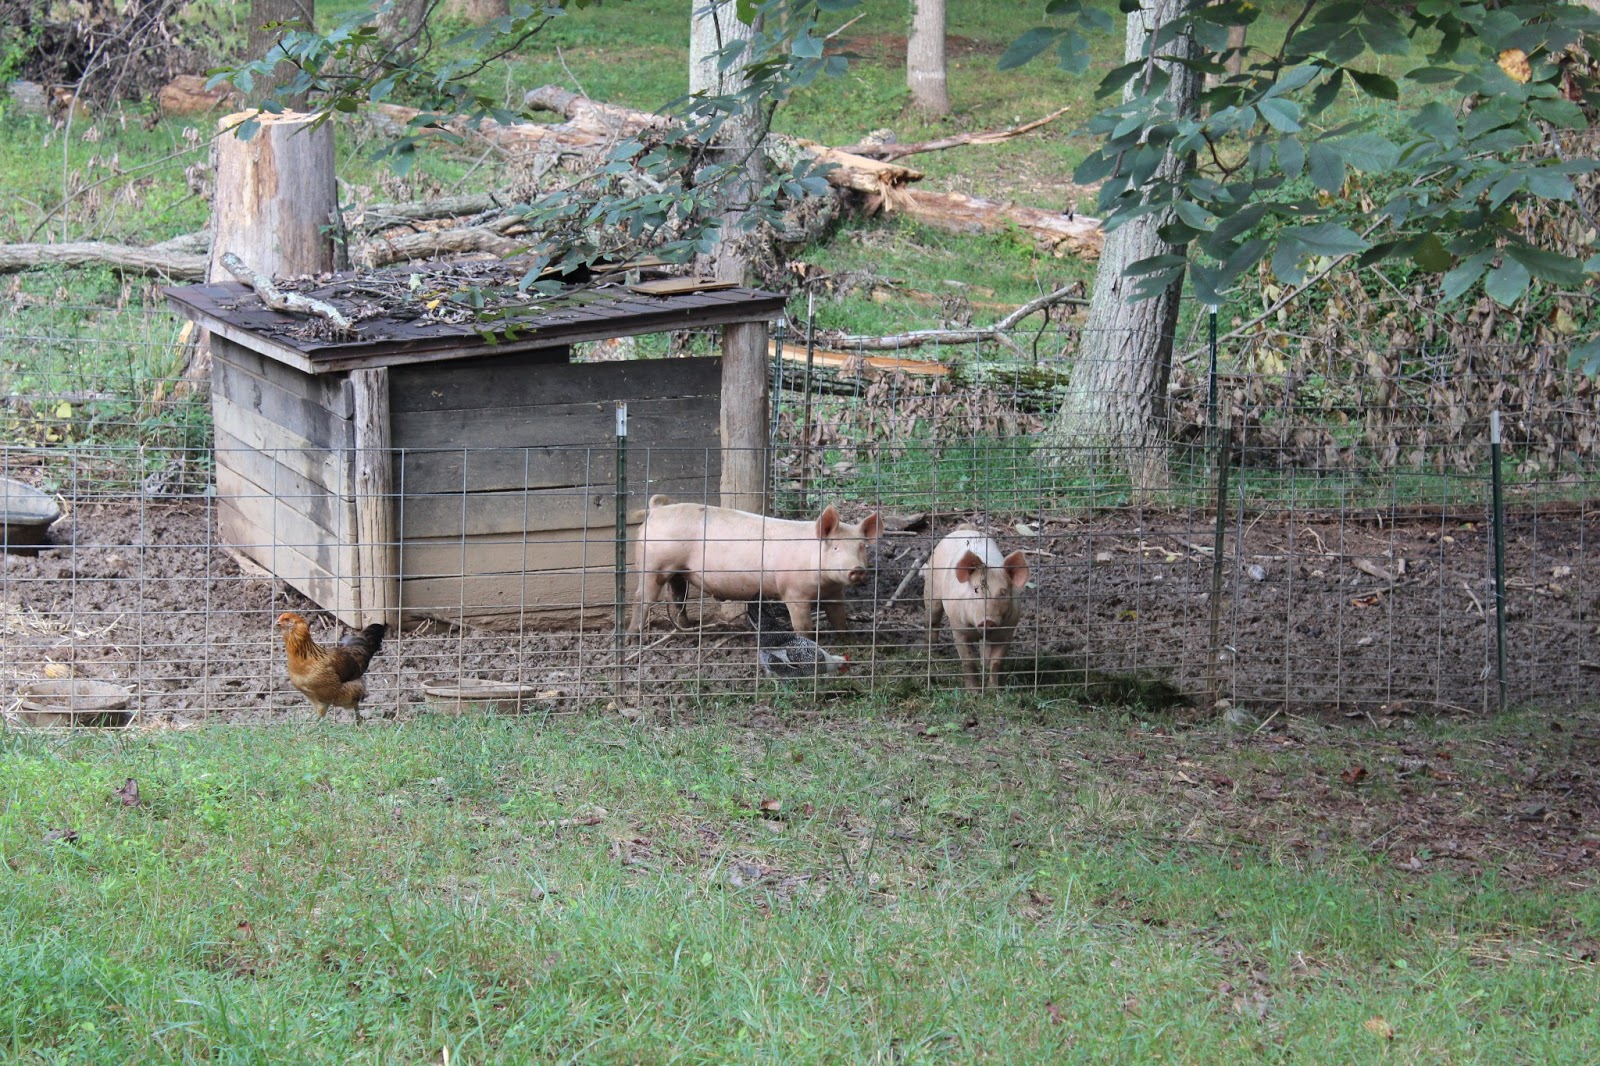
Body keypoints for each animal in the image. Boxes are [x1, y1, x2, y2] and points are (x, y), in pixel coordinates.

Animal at [631, 495, 884, 638]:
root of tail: (656, 510)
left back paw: (687, 628)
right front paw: (811, 643)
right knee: (641, 598)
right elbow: (803, 627)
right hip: (651, 565)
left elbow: (839, 618)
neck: (823, 583)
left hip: (678, 570)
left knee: (677, 596)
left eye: (862, 547)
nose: (857, 569)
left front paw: (847, 640)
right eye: (836, 548)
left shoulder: (834, 593)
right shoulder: (794, 592)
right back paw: (636, 637)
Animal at [922, 527, 1030, 691]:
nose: (988, 620)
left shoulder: (1008, 630)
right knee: (932, 618)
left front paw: (994, 691)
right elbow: (968, 661)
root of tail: (963, 529)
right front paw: (973, 692)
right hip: (931, 586)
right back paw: (933, 650)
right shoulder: (958, 629)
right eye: (976, 590)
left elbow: (996, 663)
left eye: (1003, 592)